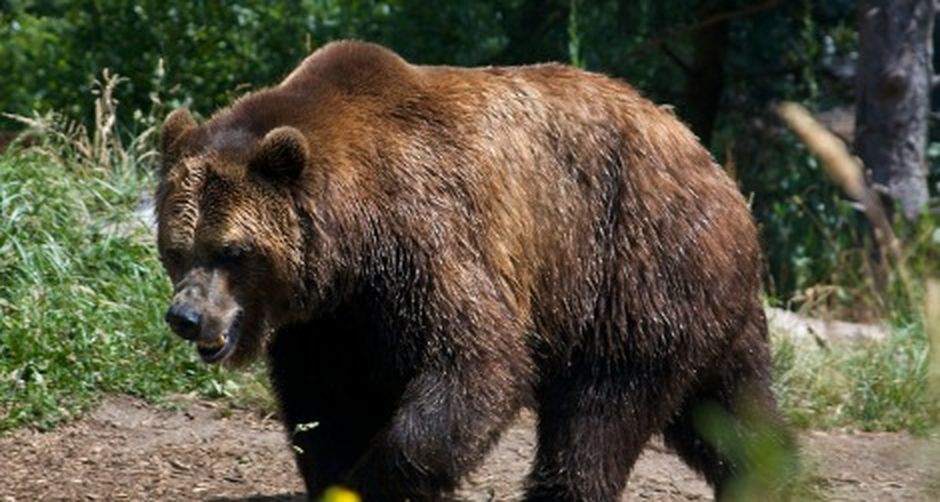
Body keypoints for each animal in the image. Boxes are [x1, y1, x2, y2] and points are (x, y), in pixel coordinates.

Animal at [156, 40, 792, 501]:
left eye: (232, 251)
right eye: (175, 248)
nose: (187, 316)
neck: (353, 236)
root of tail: (715, 169)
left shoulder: (426, 243)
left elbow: (475, 363)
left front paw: (376, 480)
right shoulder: (332, 317)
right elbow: (323, 401)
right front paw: (335, 474)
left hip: (631, 267)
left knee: (600, 411)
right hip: (706, 308)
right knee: (733, 410)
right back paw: (772, 477)